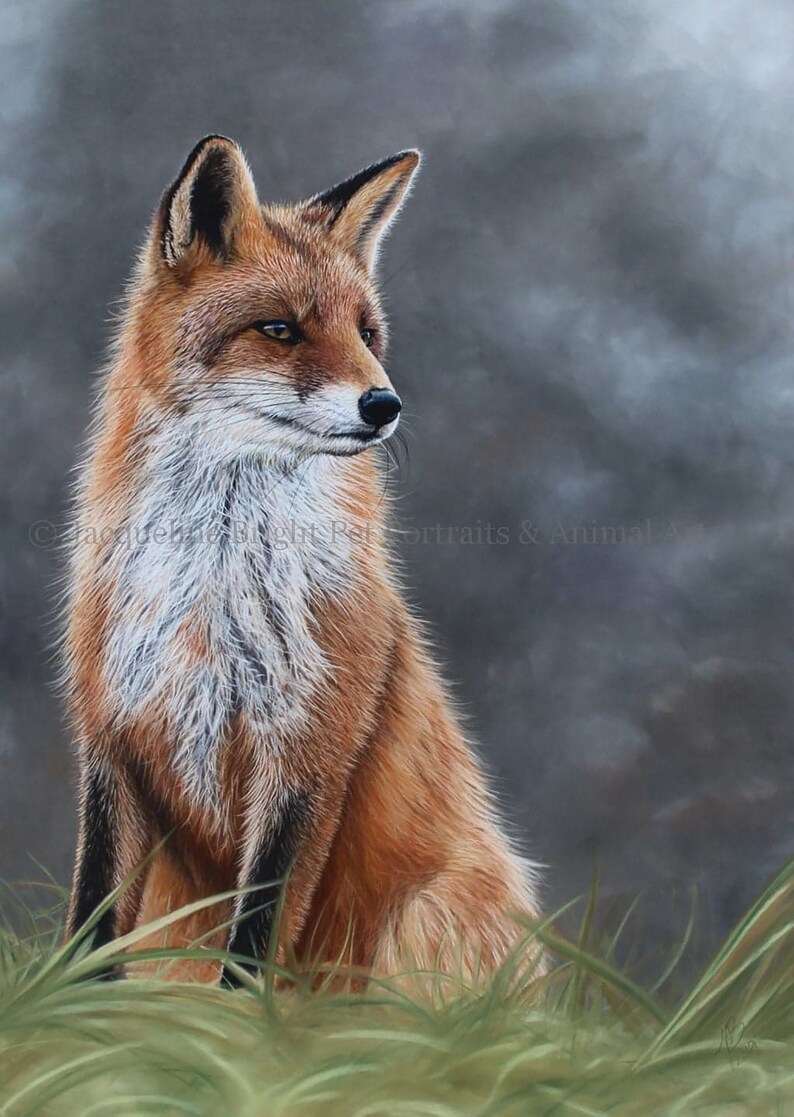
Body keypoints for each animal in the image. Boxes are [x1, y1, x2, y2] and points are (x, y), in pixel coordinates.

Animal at [64, 135, 544, 990]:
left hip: (424, 921)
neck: (212, 598)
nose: (383, 405)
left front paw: (232, 1027)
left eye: (367, 333)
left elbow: (256, 936)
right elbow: (92, 917)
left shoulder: (309, 748)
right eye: (280, 329)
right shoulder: (111, 736)